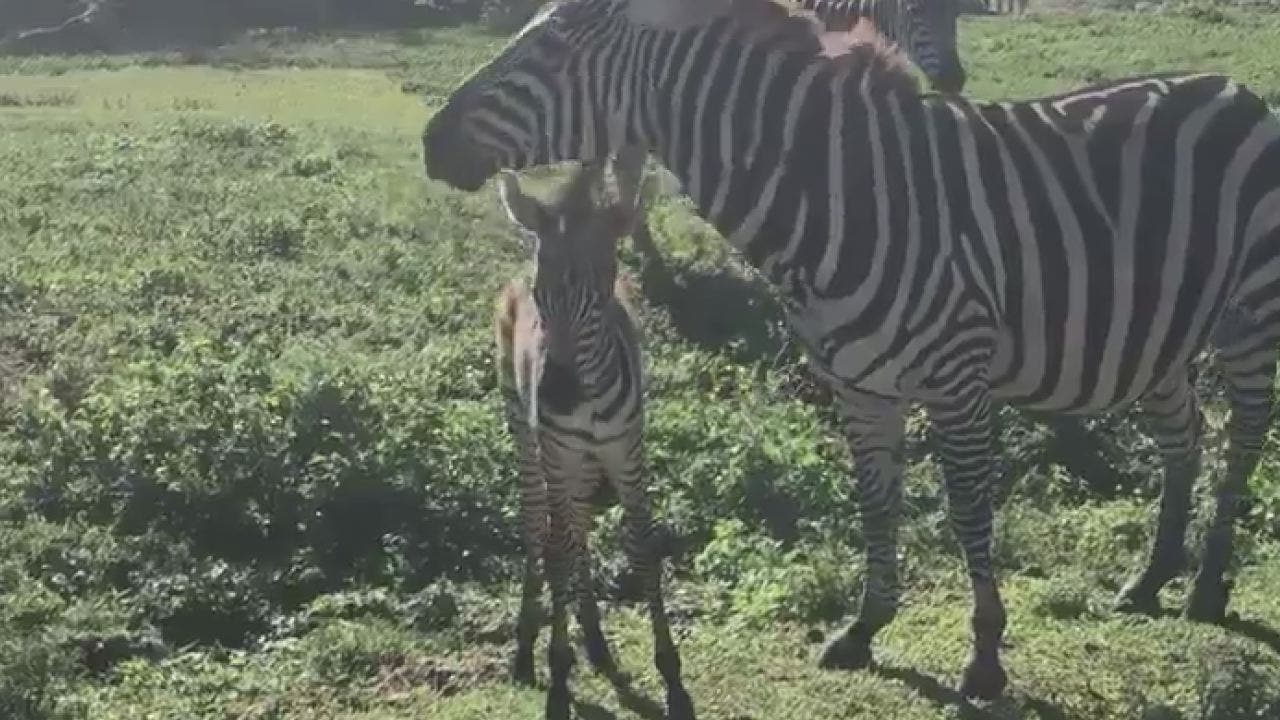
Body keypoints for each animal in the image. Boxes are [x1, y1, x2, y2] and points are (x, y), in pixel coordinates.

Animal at [493, 161, 695, 720]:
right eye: (540, 292)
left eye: (603, 291)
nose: (556, 395)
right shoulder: (558, 455)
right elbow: (558, 549)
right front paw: (559, 678)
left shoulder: (627, 453)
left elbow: (643, 548)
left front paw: (672, 678)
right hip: (527, 438)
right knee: (540, 528)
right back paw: (526, 650)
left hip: (585, 461)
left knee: (576, 527)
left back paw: (597, 641)